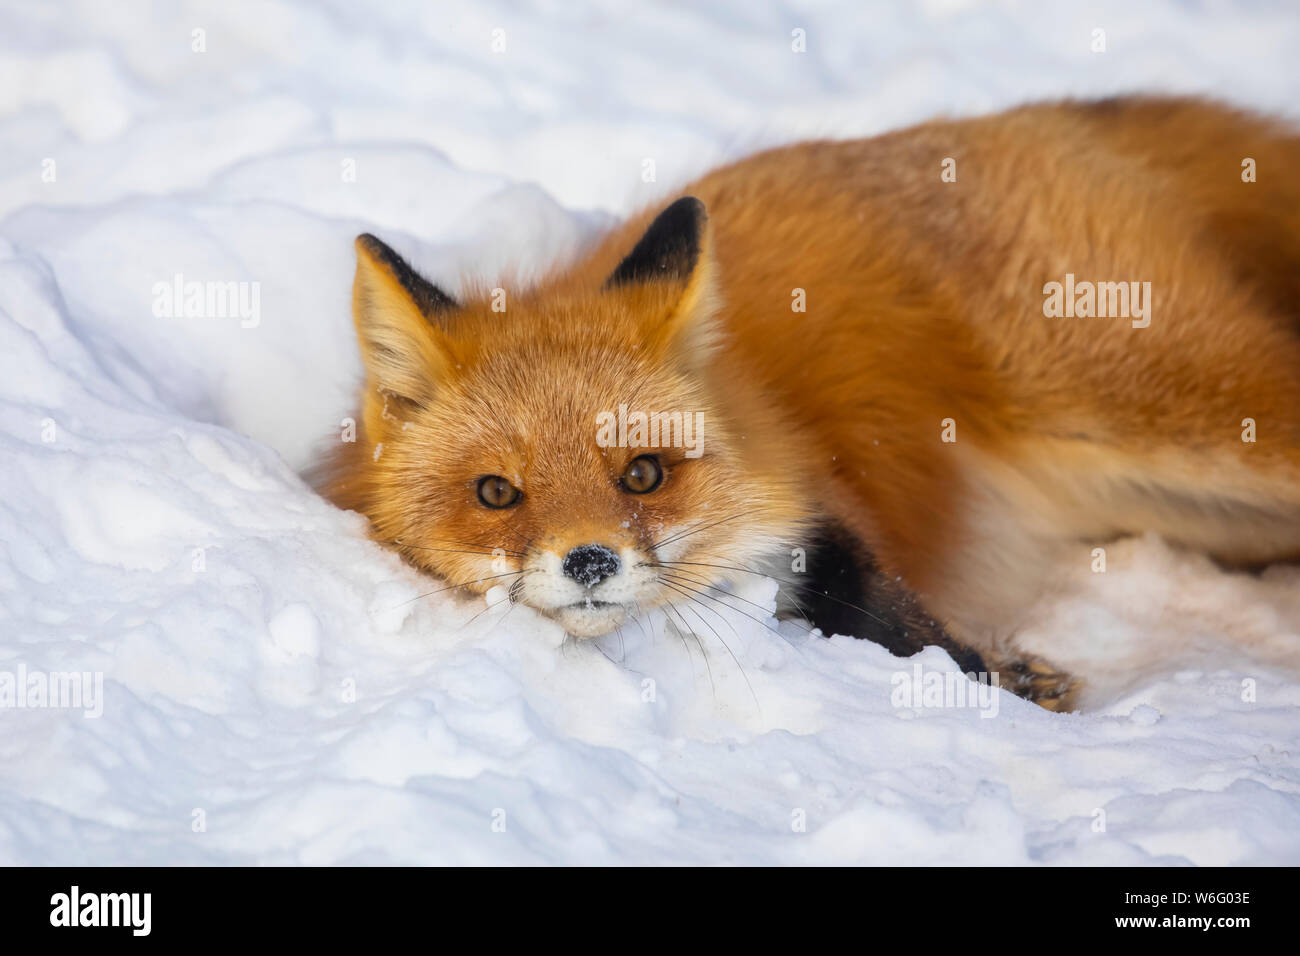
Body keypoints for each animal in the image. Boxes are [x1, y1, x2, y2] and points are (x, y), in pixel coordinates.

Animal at [314, 96, 1300, 711]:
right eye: (496, 493)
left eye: (643, 474)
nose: (590, 560)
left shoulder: (818, 521)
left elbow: (914, 630)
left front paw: (1009, 681)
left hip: (1187, 419)